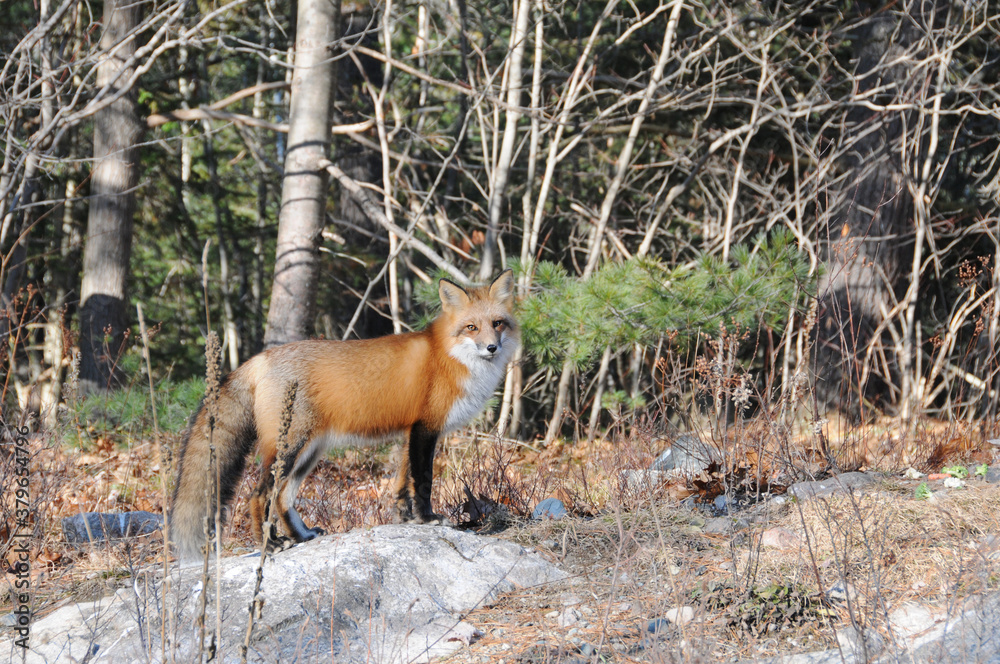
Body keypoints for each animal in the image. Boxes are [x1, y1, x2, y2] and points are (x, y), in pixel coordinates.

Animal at [170, 270, 518, 560]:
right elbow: (422, 482)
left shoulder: (411, 432)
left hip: (309, 453)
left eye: (497, 324)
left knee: (282, 499)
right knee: (258, 496)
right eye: (471, 327)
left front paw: (405, 519)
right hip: (289, 448)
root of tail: (261, 357)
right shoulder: (425, 429)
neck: (448, 355)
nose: (492, 348)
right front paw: (428, 519)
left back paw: (302, 536)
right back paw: (270, 545)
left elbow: (401, 484)